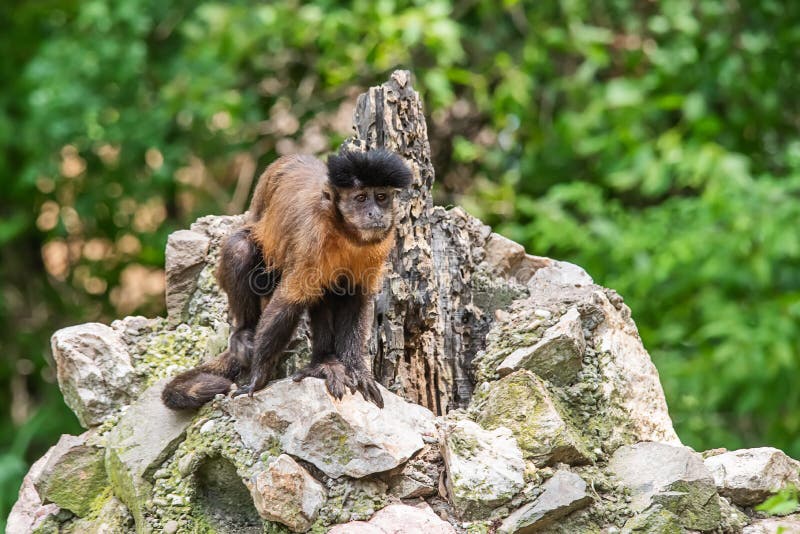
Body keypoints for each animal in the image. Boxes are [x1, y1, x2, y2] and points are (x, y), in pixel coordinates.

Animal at [161, 149, 412, 411]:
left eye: (381, 197)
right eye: (361, 198)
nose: (376, 213)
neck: (345, 233)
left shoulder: (377, 247)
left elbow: (355, 298)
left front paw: (356, 368)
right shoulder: (314, 236)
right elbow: (290, 300)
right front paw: (258, 377)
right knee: (242, 248)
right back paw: (248, 335)